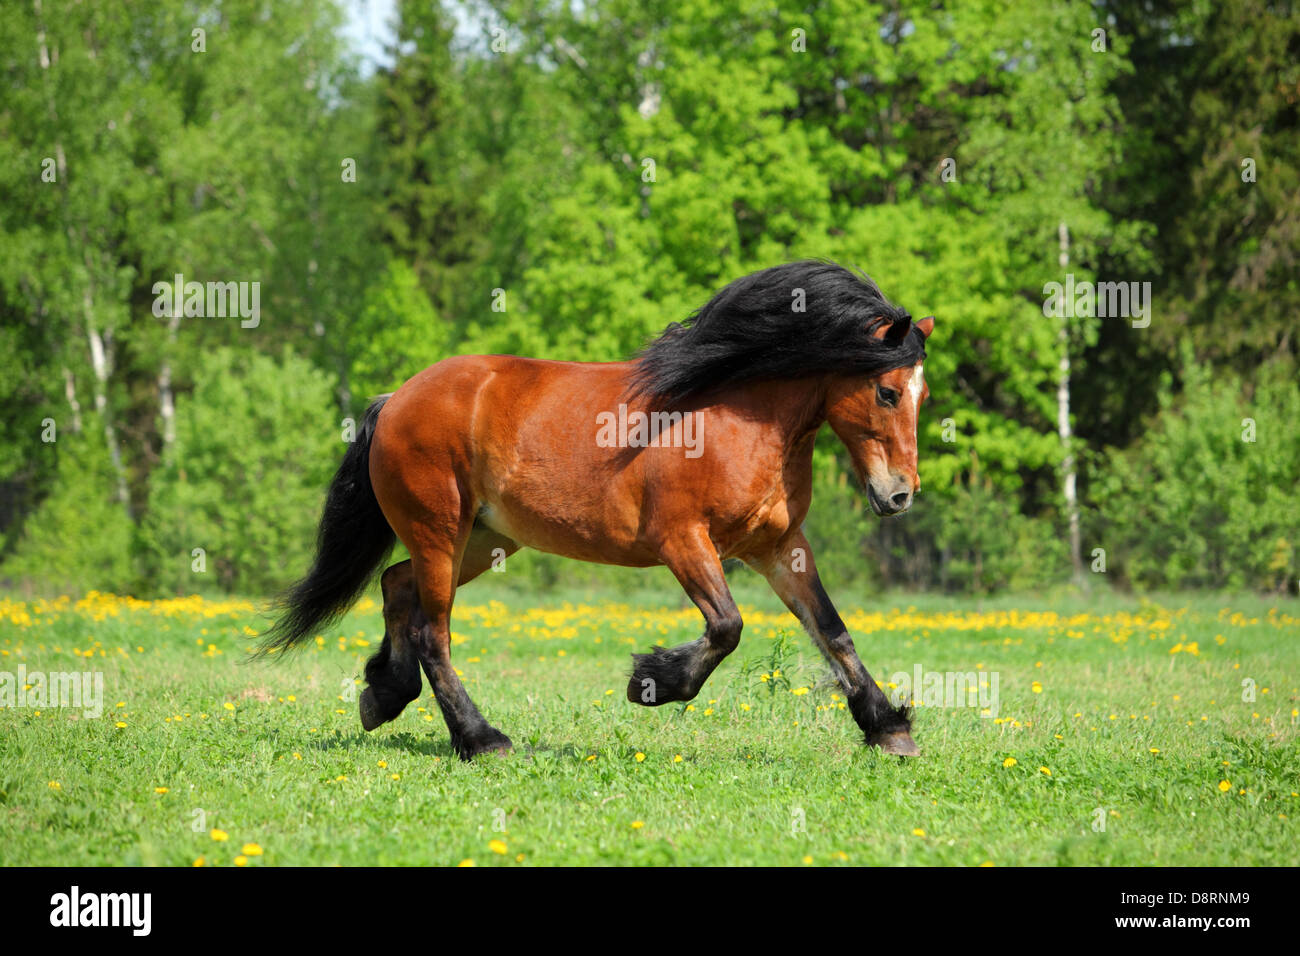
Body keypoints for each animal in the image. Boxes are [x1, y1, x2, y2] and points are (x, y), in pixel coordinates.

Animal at [260, 260, 934, 760]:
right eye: (886, 392)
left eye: (922, 395)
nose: (900, 495)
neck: (740, 422)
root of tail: (397, 397)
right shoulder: (682, 541)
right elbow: (727, 626)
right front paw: (651, 682)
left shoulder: (779, 547)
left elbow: (832, 630)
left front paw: (888, 728)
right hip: (438, 531)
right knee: (433, 629)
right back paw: (482, 739)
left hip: (481, 540)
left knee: (397, 586)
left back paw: (383, 696)